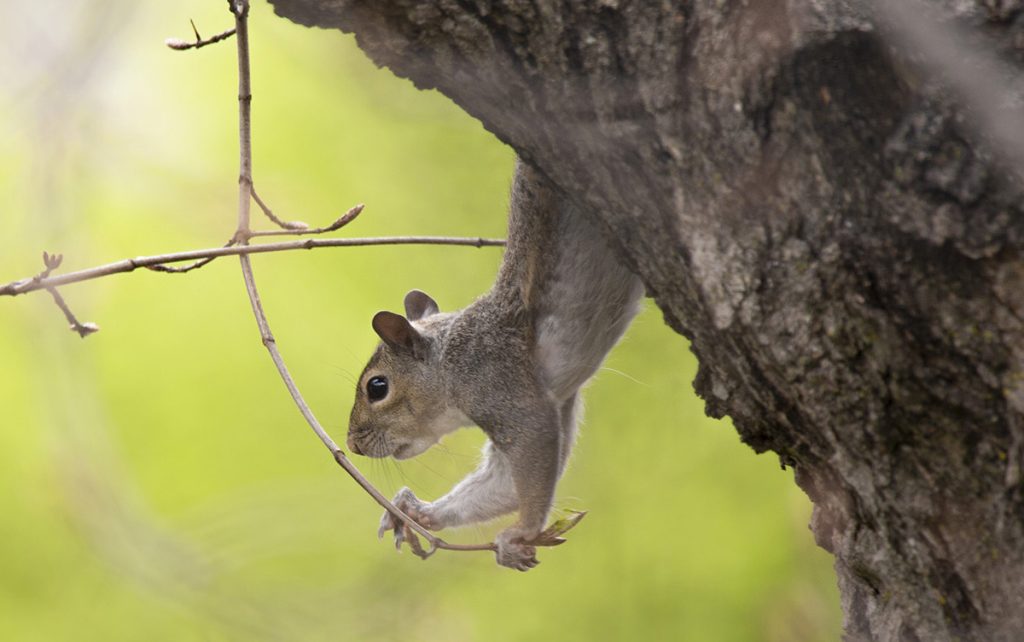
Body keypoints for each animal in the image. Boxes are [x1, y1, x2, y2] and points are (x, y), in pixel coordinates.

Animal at [346, 159, 644, 570]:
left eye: (377, 387)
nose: (352, 444)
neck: (451, 363)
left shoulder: (504, 388)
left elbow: (533, 446)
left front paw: (522, 532)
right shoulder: (557, 398)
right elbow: (503, 485)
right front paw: (417, 512)